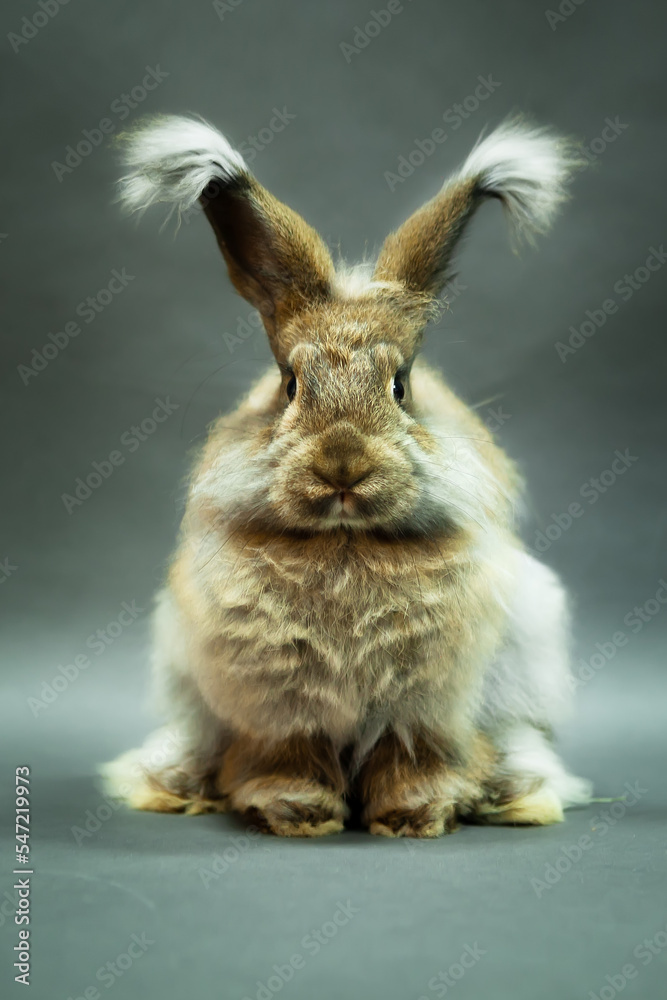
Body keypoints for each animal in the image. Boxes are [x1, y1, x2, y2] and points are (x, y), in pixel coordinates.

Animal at [102, 113, 591, 837]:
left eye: (400, 386)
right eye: (289, 384)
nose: (343, 466)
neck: (344, 542)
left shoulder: (421, 710)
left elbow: (414, 757)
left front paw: (417, 815)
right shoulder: (281, 709)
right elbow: (289, 758)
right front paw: (297, 813)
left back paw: (512, 794)